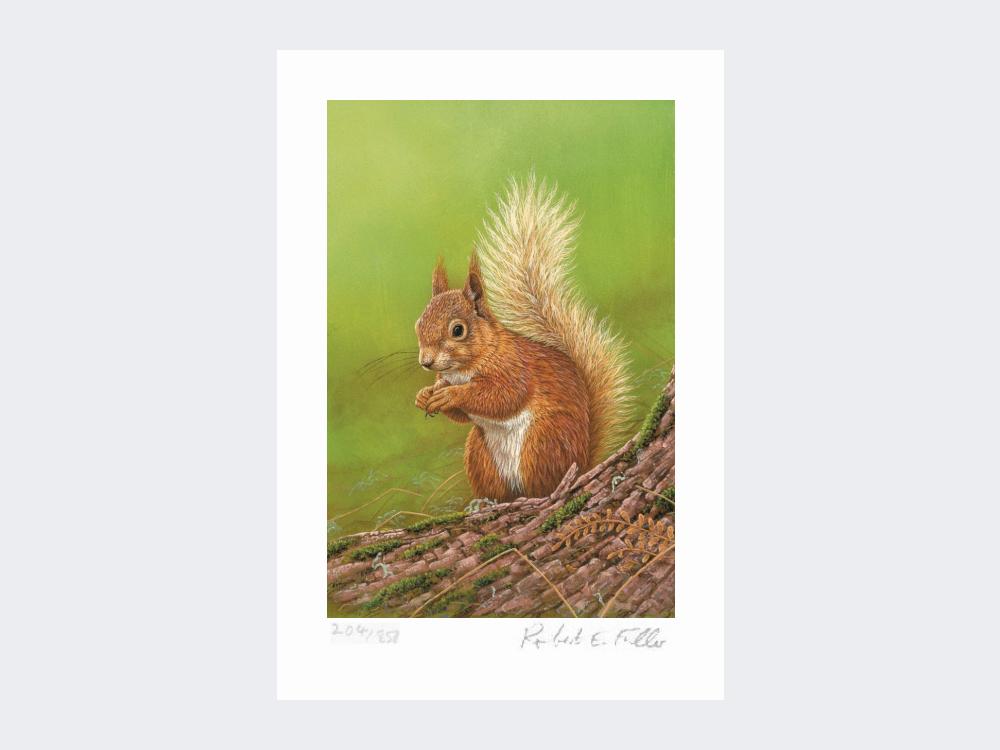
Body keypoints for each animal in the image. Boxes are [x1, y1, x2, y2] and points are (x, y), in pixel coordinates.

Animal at [414, 175, 631, 502]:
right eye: (418, 324)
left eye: (458, 330)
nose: (426, 363)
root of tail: (582, 464)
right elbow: (463, 417)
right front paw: (425, 394)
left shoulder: (516, 369)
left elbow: (503, 397)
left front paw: (450, 395)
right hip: (479, 454)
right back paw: (485, 503)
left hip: (542, 442)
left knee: (542, 485)